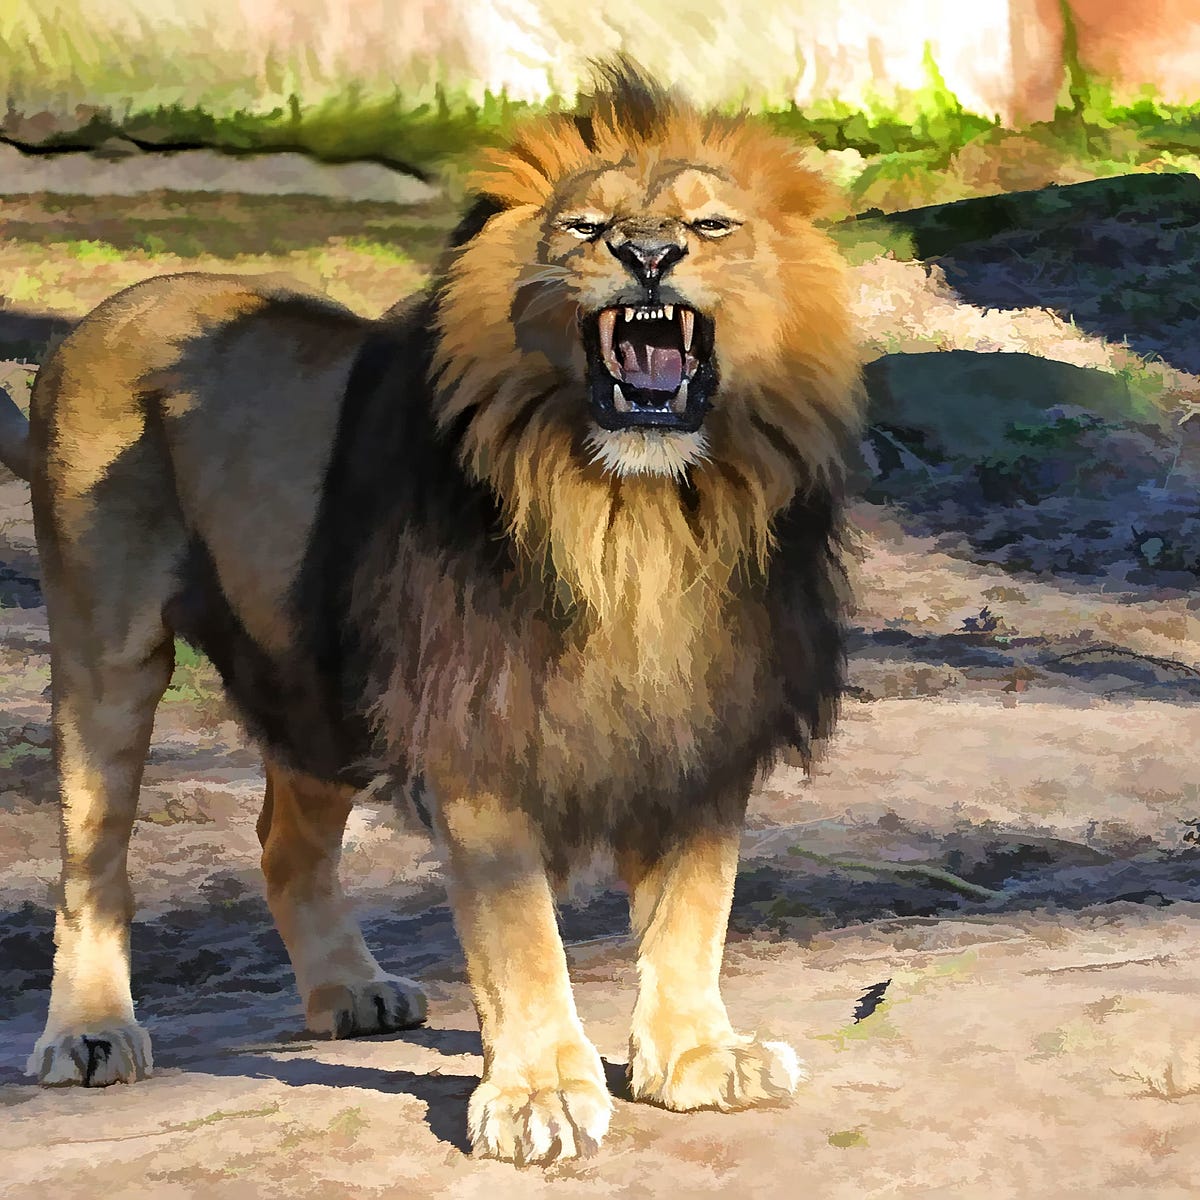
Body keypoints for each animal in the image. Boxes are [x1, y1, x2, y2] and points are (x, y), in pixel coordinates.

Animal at [0, 62, 862, 1163]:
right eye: (585, 227)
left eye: (711, 225)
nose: (648, 256)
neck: (636, 519)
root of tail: (106, 312)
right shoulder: (473, 718)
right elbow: (519, 931)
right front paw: (540, 1094)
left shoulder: (710, 716)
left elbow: (694, 907)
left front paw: (696, 1059)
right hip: (108, 660)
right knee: (92, 865)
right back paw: (92, 1032)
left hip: (320, 691)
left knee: (284, 843)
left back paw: (350, 992)